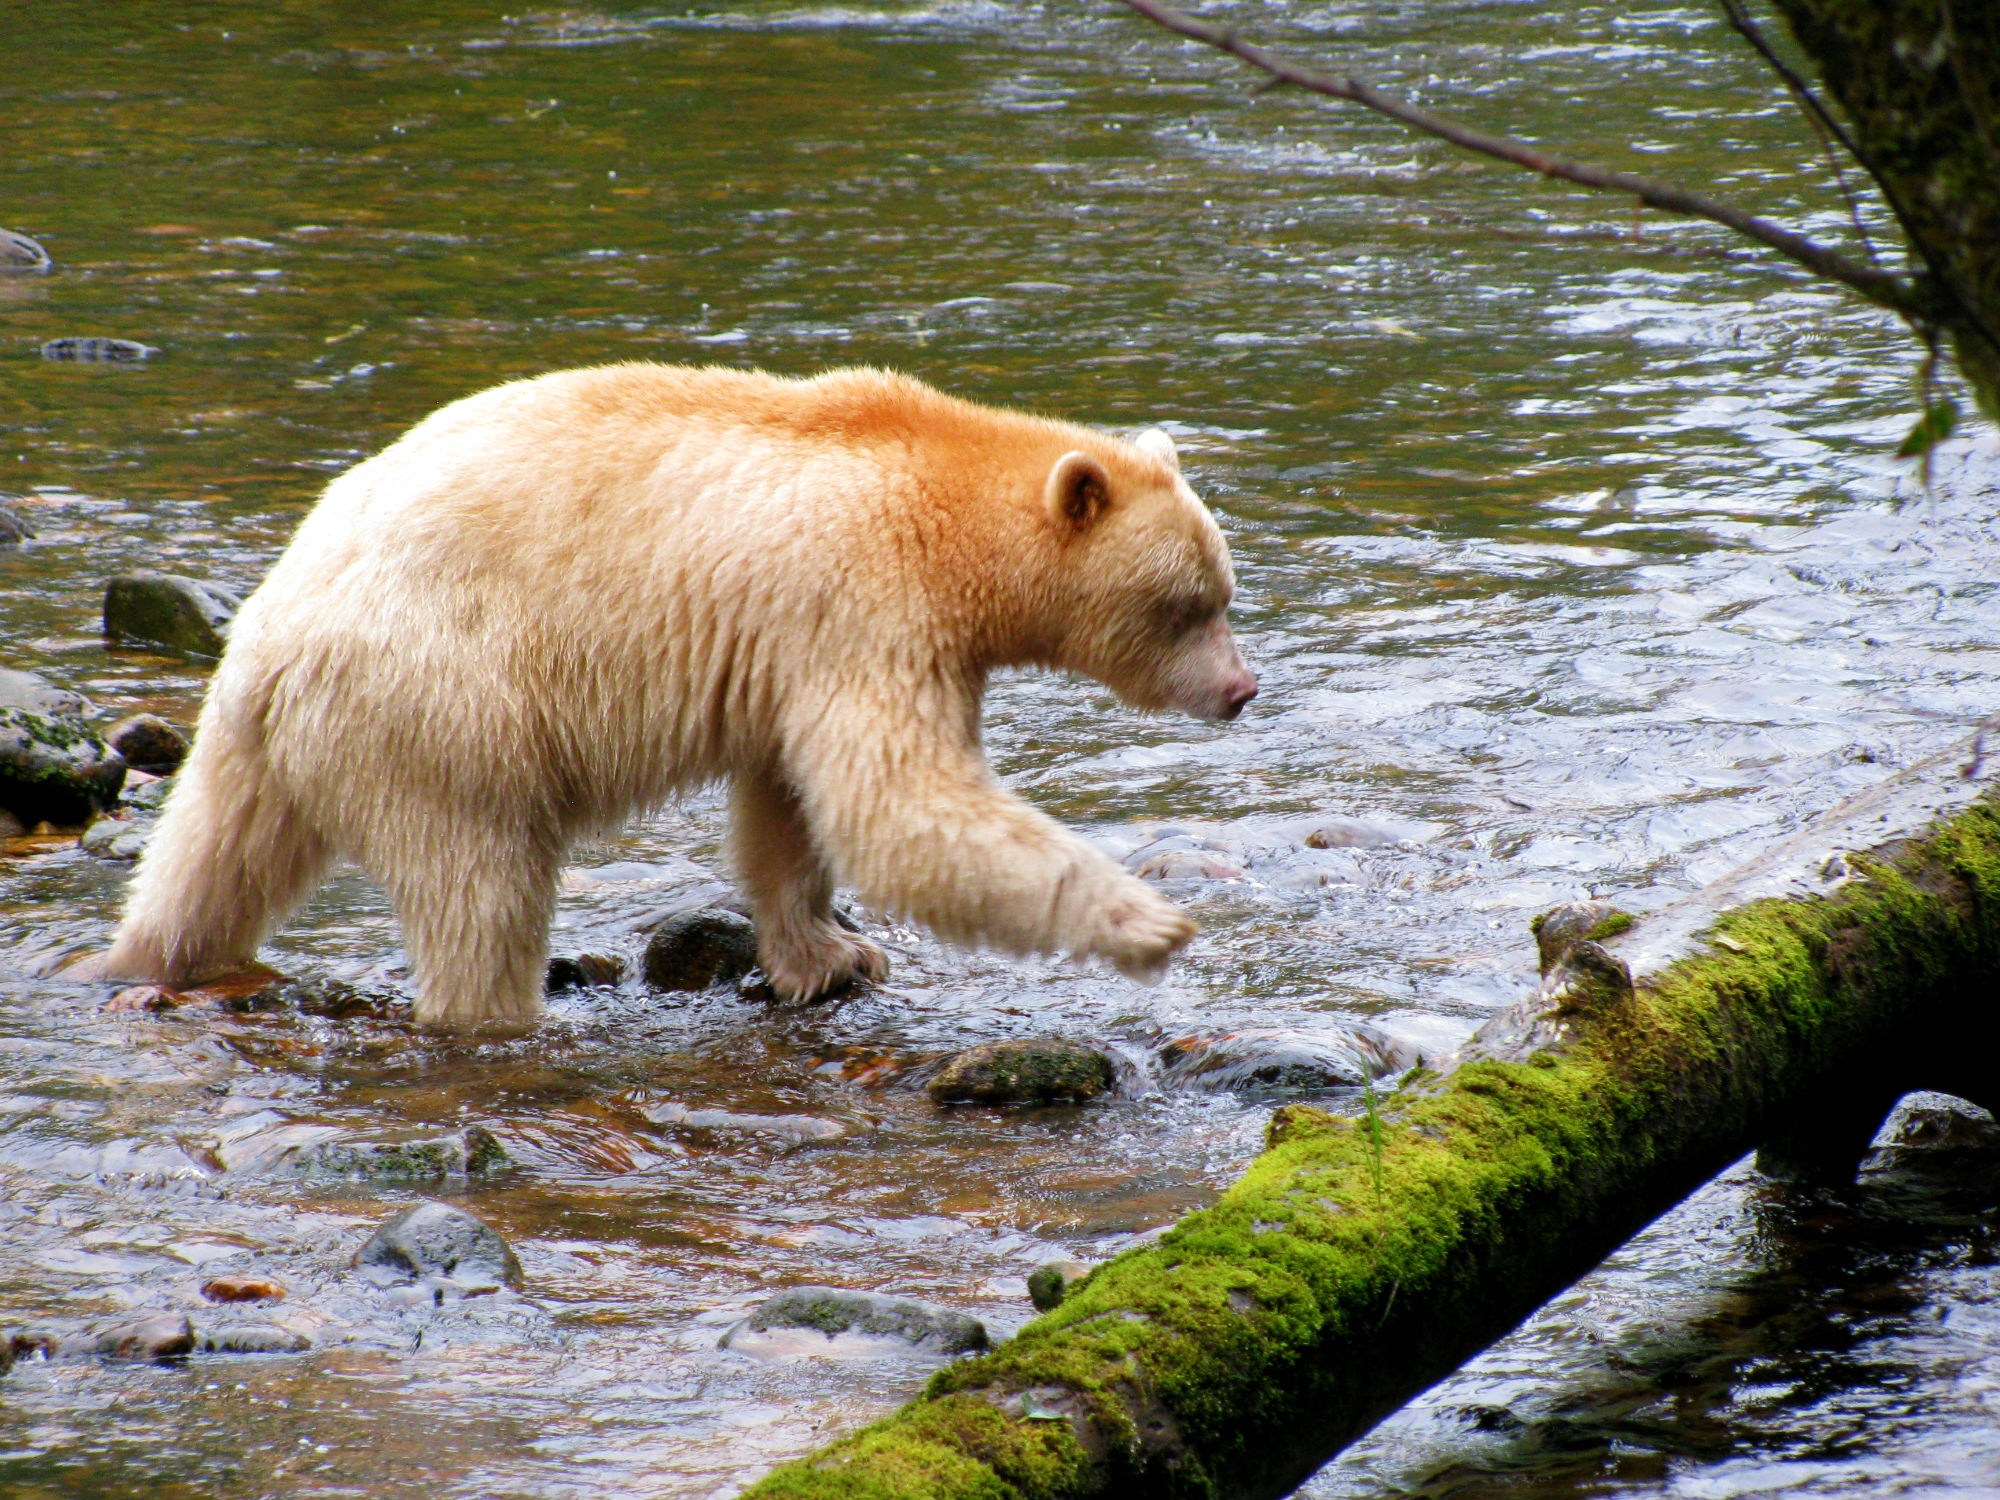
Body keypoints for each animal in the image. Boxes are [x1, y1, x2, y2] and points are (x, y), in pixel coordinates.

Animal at [92, 364, 1258, 1030]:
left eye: (1223, 588)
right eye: (1187, 605)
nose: (1243, 689)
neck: (941, 499)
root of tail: (267, 635)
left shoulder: (796, 649)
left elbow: (786, 805)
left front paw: (829, 955)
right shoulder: (863, 606)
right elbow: (895, 806)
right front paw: (1149, 924)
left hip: (279, 739)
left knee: (212, 859)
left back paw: (150, 959)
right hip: (442, 704)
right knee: (482, 883)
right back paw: (497, 1018)